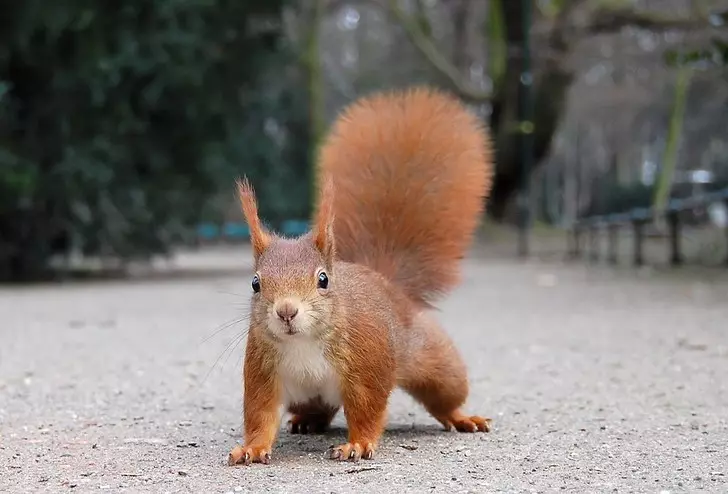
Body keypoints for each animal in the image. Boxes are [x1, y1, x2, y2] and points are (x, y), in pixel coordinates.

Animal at [229, 87, 494, 466]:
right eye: (255, 283)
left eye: (323, 279)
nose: (286, 311)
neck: (303, 342)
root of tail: (386, 281)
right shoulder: (263, 372)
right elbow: (260, 415)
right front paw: (251, 448)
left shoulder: (367, 365)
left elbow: (367, 410)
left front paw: (357, 444)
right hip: (306, 395)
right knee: (318, 408)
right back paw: (307, 421)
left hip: (435, 361)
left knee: (445, 395)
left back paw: (461, 417)